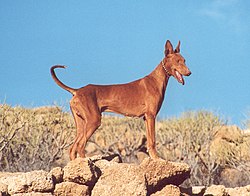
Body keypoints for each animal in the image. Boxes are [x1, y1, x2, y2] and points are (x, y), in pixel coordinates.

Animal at [50, 39, 191, 159]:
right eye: (178, 61)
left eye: (184, 60)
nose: (189, 73)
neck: (156, 80)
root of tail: (77, 91)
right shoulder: (151, 116)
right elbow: (152, 141)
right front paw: (156, 158)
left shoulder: (146, 117)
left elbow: (149, 140)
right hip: (93, 120)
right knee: (80, 146)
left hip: (81, 123)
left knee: (72, 148)